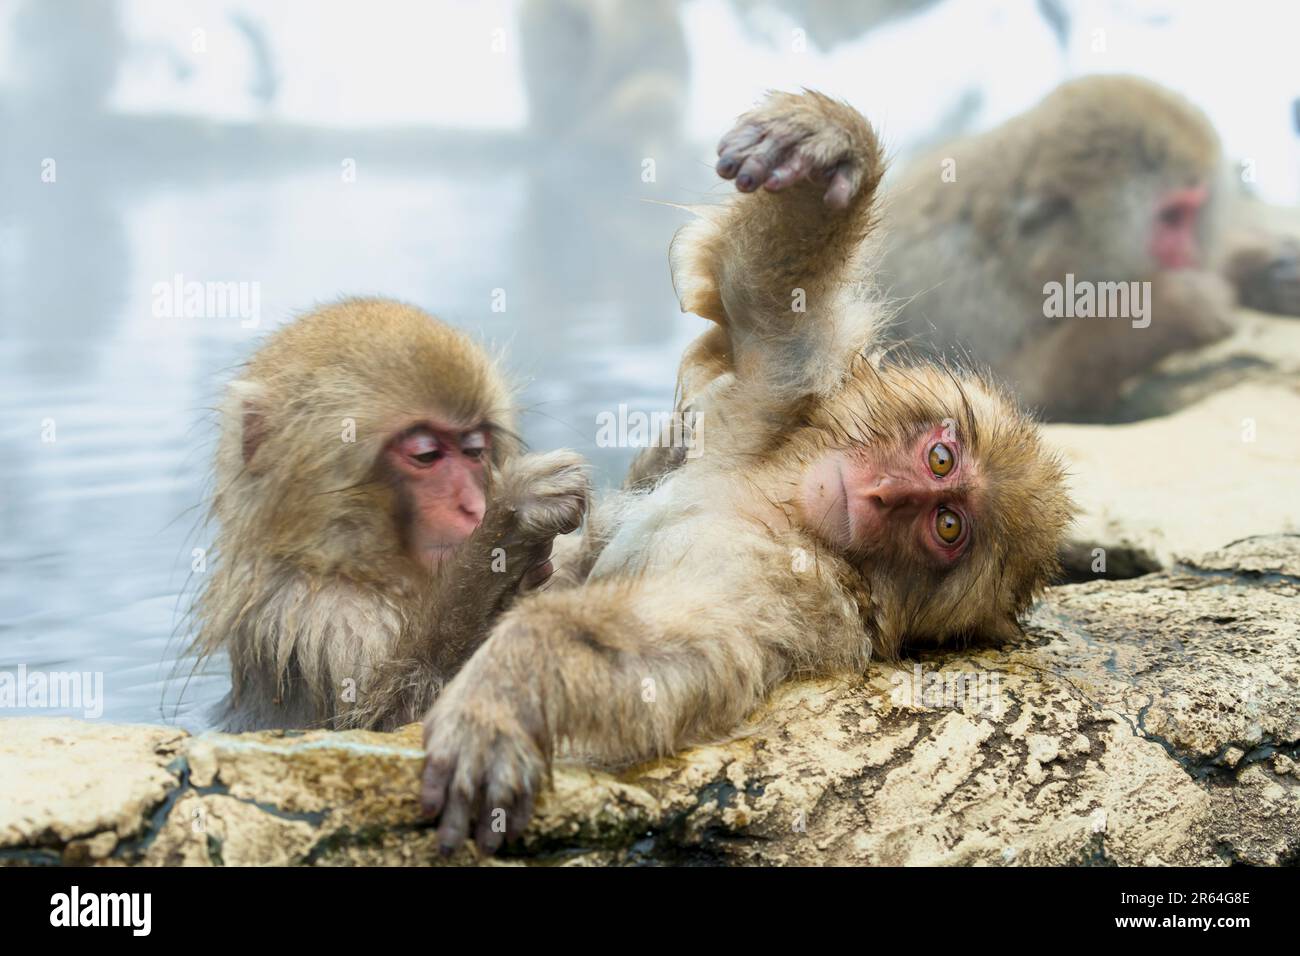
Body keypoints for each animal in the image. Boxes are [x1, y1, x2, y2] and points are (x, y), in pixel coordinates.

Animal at [189, 297, 590, 732]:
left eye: (473, 450)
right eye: (426, 455)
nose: (474, 506)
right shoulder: (313, 616)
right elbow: (390, 717)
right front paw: (511, 527)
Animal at [416, 91, 1073, 854]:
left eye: (946, 527)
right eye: (939, 460)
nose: (884, 495)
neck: (784, 508)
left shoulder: (793, 592)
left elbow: (658, 654)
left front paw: (504, 693)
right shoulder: (768, 412)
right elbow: (761, 297)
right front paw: (826, 145)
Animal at [875, 74, 1300, 421]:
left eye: (1193, 210)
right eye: (1172, 218)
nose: (1191, 255)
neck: (1019, 260)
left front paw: (1264, 266)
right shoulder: (958, 299)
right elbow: (1016, 396)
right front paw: (1173, 309)